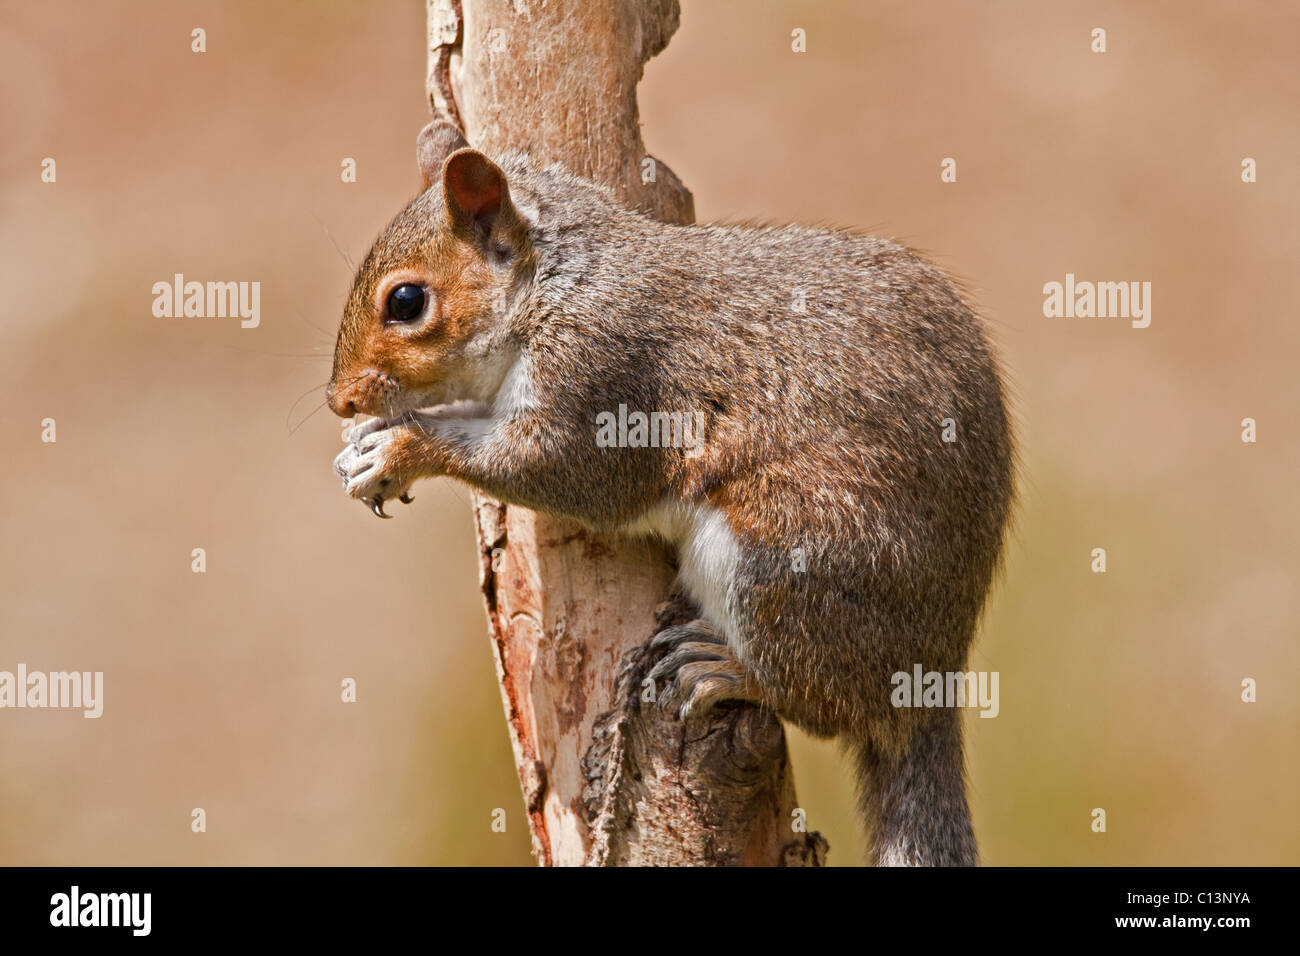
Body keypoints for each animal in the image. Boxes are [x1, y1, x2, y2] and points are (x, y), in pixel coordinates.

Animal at [327, 120, 1014, 867]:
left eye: (406, 302)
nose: (340, 401)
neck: (561, 283)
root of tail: (933, 671)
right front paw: (369, 442)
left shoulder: (606, 379)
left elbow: (564, 472)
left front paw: (404, 448)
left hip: (781, 560)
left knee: (825, 703)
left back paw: (726, 670)